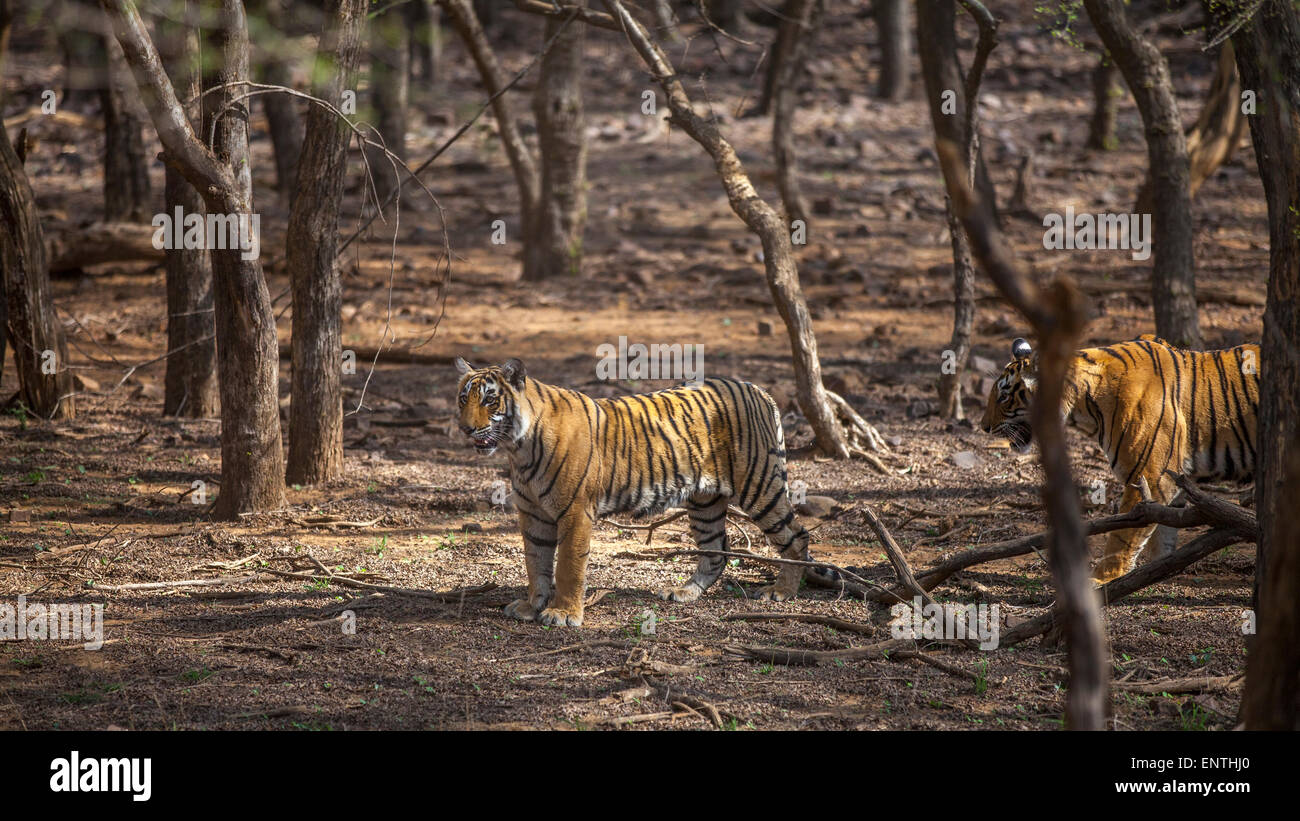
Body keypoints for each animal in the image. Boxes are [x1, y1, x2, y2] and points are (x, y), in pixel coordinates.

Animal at [453, 357, 829, 627]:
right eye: (463, 398)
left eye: (490, 399)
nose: (465, 428)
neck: (518, 448)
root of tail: (760, 391)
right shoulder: (532, 513)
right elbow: (536, 563)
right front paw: (532, 606)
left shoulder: (574, 512)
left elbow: (568, 566)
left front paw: (563, 614)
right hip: (705, 501)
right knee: (716, 549)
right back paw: (685, 593)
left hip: (759, 484)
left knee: (796, 536)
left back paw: (781, 592)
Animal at [981, 334, 1259, 583]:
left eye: (1004, 396)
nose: (984, 426)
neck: (1084, 405)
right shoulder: (1171, 477)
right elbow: (1162, 530)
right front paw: (1160, 570)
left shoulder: (1152, 475)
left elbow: (1124, 534)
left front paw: (1103, 578)